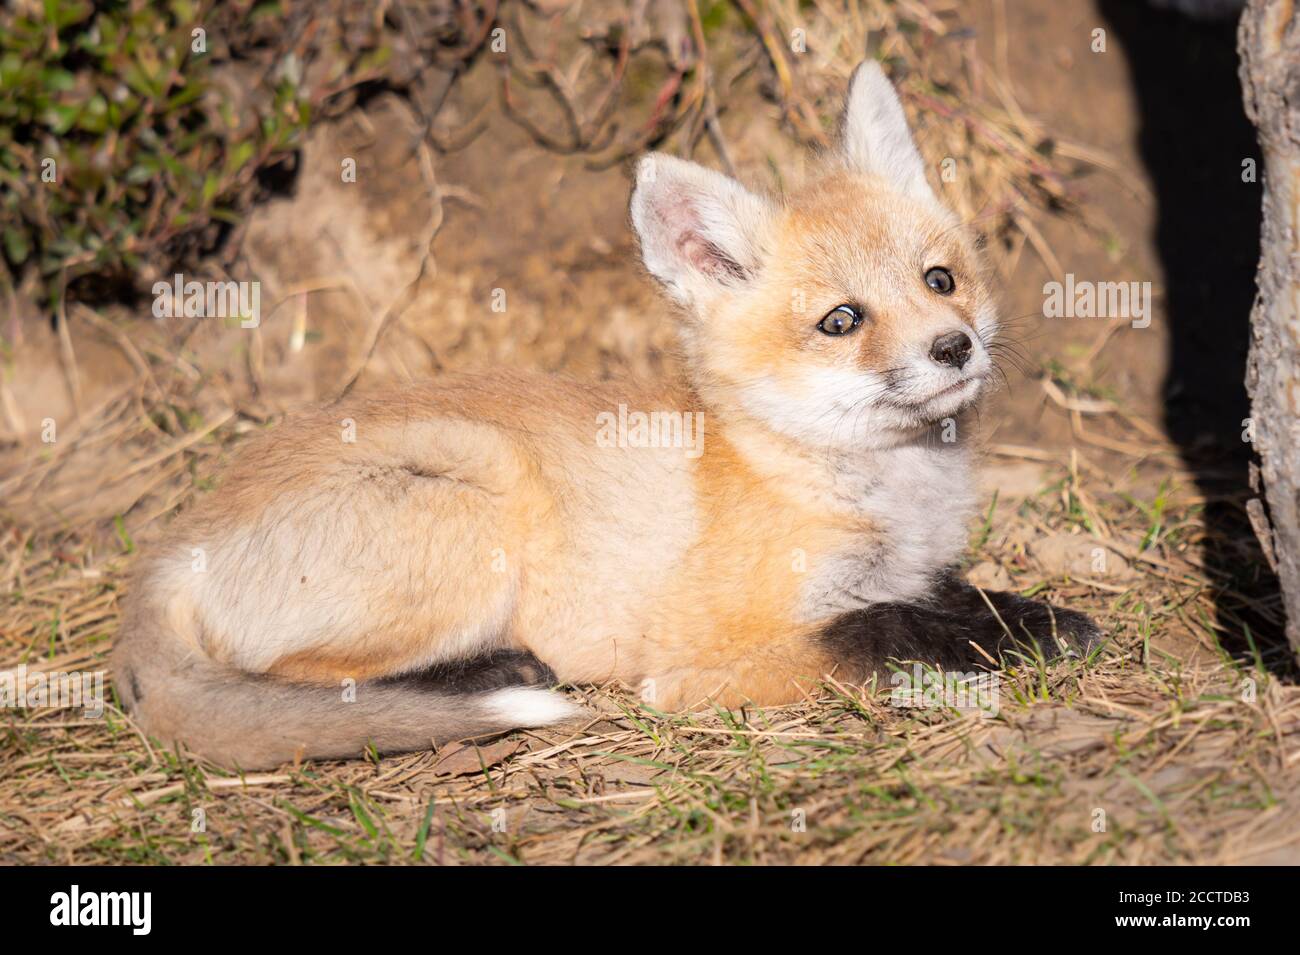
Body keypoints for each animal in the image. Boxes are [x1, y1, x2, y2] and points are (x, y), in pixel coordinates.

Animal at [112, 62, 1101, 769]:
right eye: (841, 321)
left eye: (940, 279)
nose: (955, 347)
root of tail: (175, 544)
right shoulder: (706, 661)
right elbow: (883, 628)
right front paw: (1005, 646)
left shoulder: (911, 570)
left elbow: (951, 596)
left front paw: (1034, 621)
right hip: (474, 499)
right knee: (301, 681)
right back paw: (494, 675)